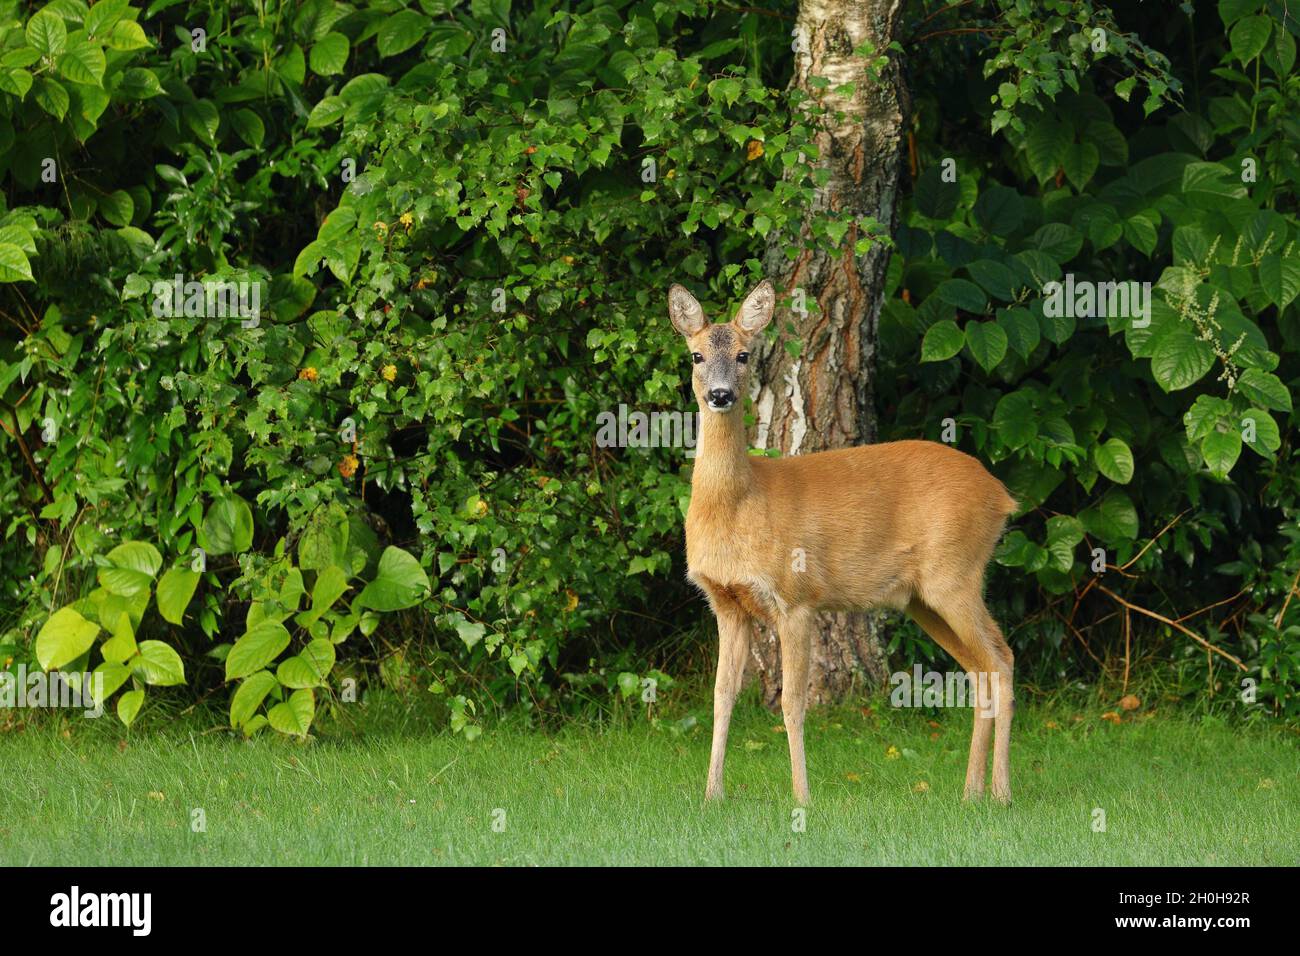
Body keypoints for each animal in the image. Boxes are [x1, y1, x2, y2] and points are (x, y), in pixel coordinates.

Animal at [668, 279, 1020, 806]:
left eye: (746, 354)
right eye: (695, 355)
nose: (720, 394)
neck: (740, 502)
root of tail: (1002, 496)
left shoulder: (795, 598)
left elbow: (793, 702)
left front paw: (802, 797)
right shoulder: (727, 604)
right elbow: (720, 697)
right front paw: (713, 795)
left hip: (955, 574)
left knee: (1002, 659)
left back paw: (1000, 792)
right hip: (923, 599)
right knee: (981, 669)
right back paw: (971, 793)